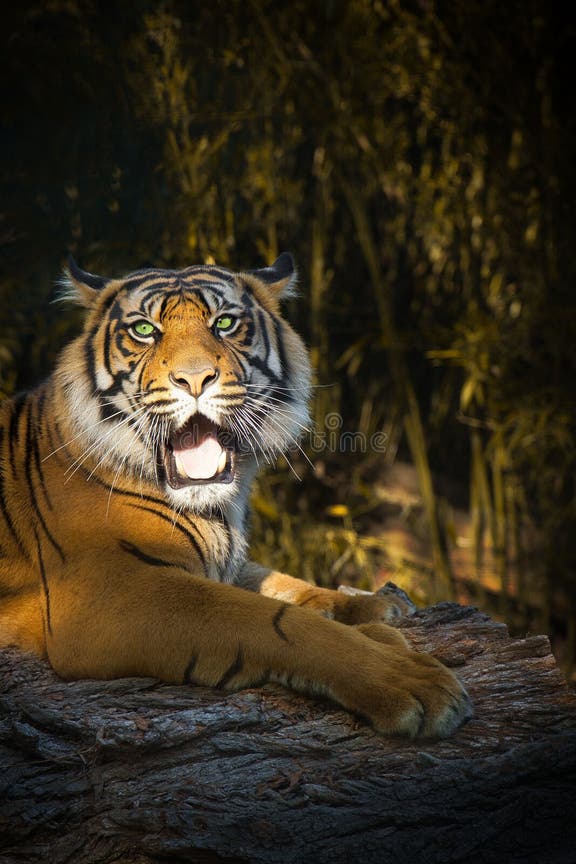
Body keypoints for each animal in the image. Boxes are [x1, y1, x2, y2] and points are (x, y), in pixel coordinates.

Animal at [0, 252, 471, 738]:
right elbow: (272, 621)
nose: (194, 379)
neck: (219, 506)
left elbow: (285, 583)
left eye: (224, 323)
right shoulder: (103, 596)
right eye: (145, 329)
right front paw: (407, 677)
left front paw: (375, 607)